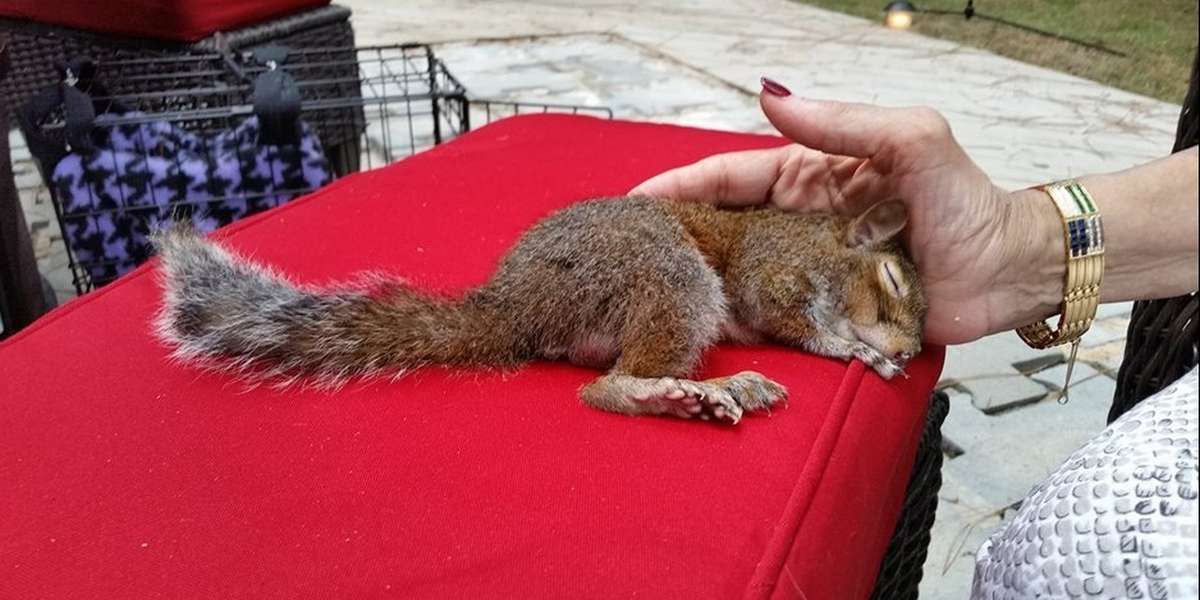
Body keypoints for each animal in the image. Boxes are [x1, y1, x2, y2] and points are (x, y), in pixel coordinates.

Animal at [154, 196, 926, 424]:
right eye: (893, 277)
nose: (916, 352)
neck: (825, 244)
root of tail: (515, 309)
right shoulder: (773, 271)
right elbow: (796, 321)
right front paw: (858, 349)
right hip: (671, 277)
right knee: (605, 387)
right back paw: (691, 392)